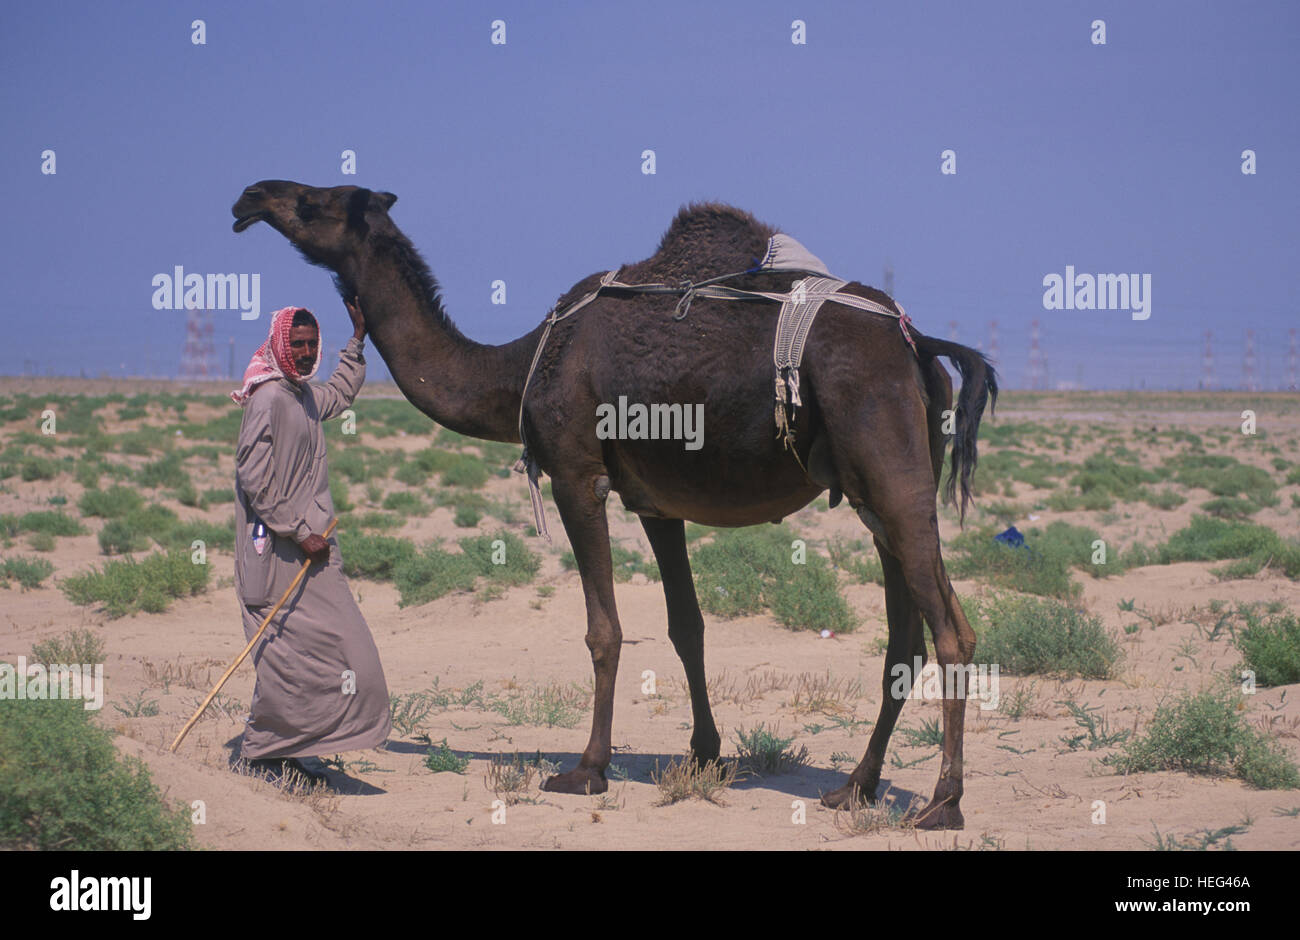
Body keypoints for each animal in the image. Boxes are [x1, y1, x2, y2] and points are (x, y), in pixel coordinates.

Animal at [231, 181, 998, 829]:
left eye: (314, 200)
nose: (249, 198)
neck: (520, 366)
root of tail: (919, 345)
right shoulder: (658, 502)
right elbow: (687, 626)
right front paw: (703, 755)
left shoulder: (577, 474)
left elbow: (604, 629)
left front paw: (586, 769)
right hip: (877, 490)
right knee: (903, 633)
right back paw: (856, 786)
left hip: (891, 466)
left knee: (952, 629)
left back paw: (943, 802)